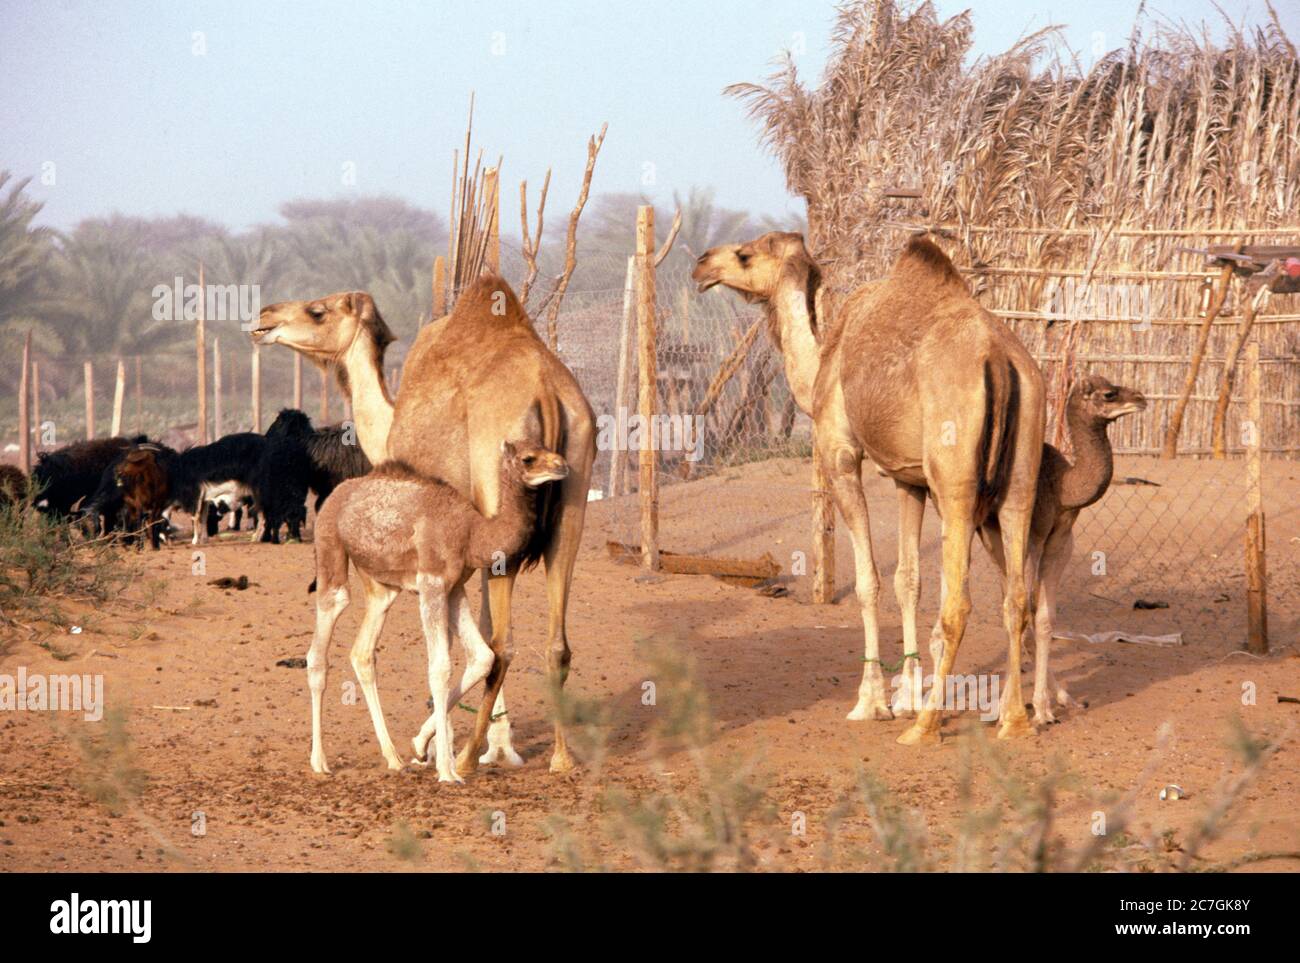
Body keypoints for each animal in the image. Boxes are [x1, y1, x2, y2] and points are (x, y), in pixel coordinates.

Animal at [310, 442, 569, 781]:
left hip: (381, 584)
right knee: (324, 637)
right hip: (330, 547)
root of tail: (336, 495)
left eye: (547, 448)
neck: (472, 533)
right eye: (528, 458)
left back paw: (393, 758)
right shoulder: (431, 582)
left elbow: (483, 658)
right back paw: (319, 762)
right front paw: (447, 770)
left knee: (363, 653)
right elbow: (440, 667)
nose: (562, 465)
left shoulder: (455, 587)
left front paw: (421, 746)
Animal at [694, 232, 1046, 743]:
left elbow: (868, 581)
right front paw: (905, 696)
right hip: (1020, 474)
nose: (702, 265)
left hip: (956, 481)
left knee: (960, 603)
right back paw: (1014, 720)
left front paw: (871, 702)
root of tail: (998, 358)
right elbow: (908, 579)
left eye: (746, 255)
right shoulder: (909, 479)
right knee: (1017, 595)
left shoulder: (840, 454)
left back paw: (924, 728)